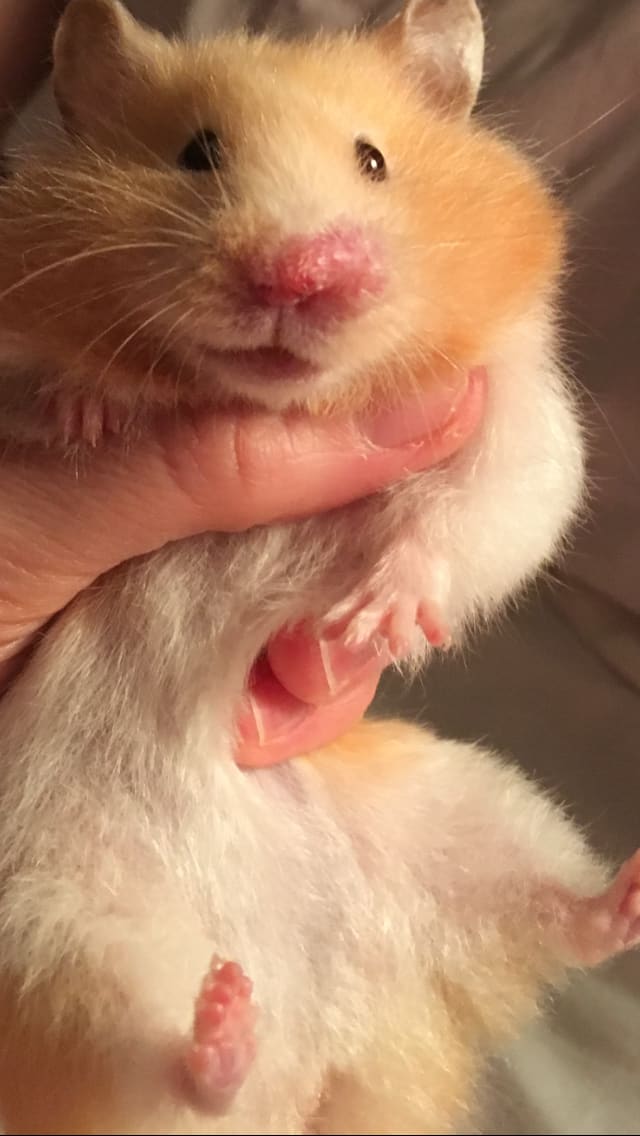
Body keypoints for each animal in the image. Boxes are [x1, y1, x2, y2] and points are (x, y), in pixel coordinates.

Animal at [0, 1, 637, 1132]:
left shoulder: (515, 413)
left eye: (373, 159)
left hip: (480, 810)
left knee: (567, 920)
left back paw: (630, 890)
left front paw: (375, 621)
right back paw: (223, 1026)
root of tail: (341, 1038)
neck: (285, 401)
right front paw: (87, 410)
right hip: (67, 938)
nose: (303, 273)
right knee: (170, 1071)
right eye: (196, 154)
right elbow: (32, 385)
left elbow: (488, 507)